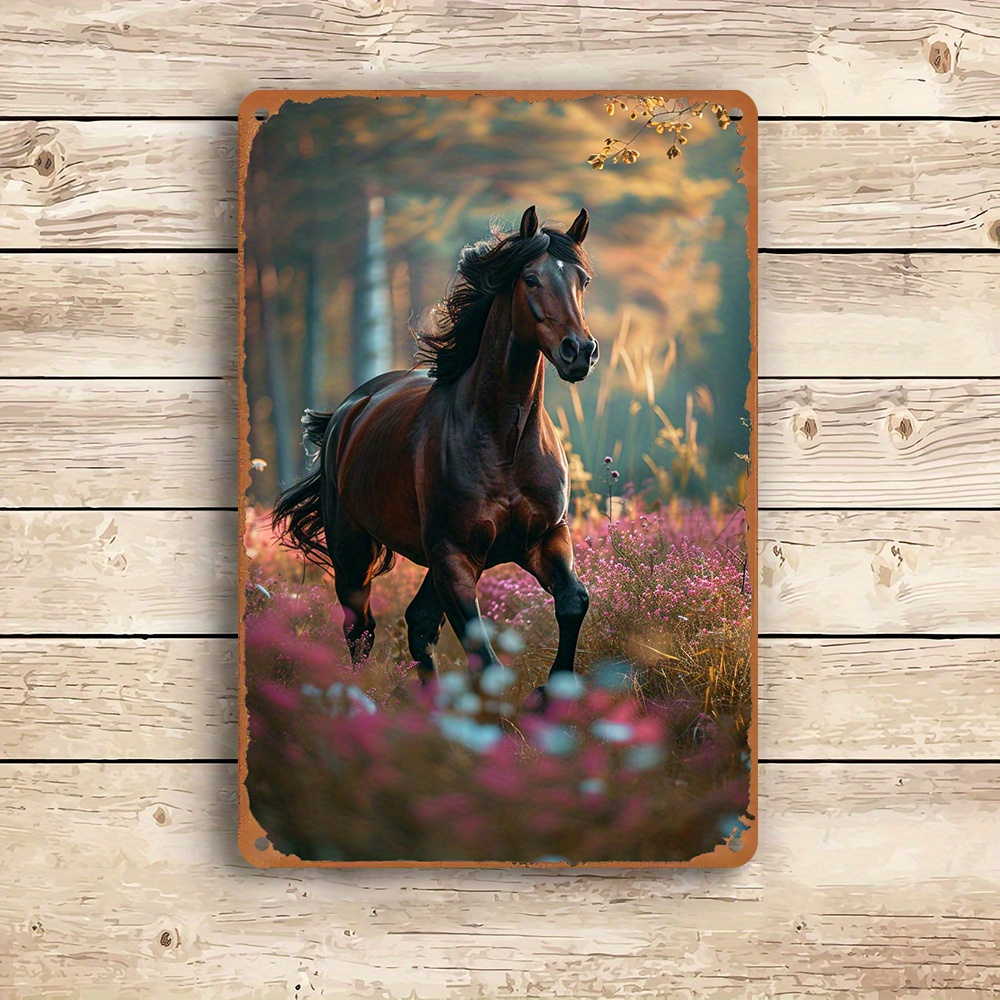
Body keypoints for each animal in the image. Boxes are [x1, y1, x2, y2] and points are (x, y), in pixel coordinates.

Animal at [272, 205, 599, 697]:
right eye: (531, 279)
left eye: (583, 280)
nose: (579, 351)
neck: (504, 441)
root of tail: (347, 412)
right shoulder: (454, 556)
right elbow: (483, 656)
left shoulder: (544, 538)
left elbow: (573, 602)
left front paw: (549, 695)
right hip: (353, 551)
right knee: (360, 628)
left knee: (417, 623)